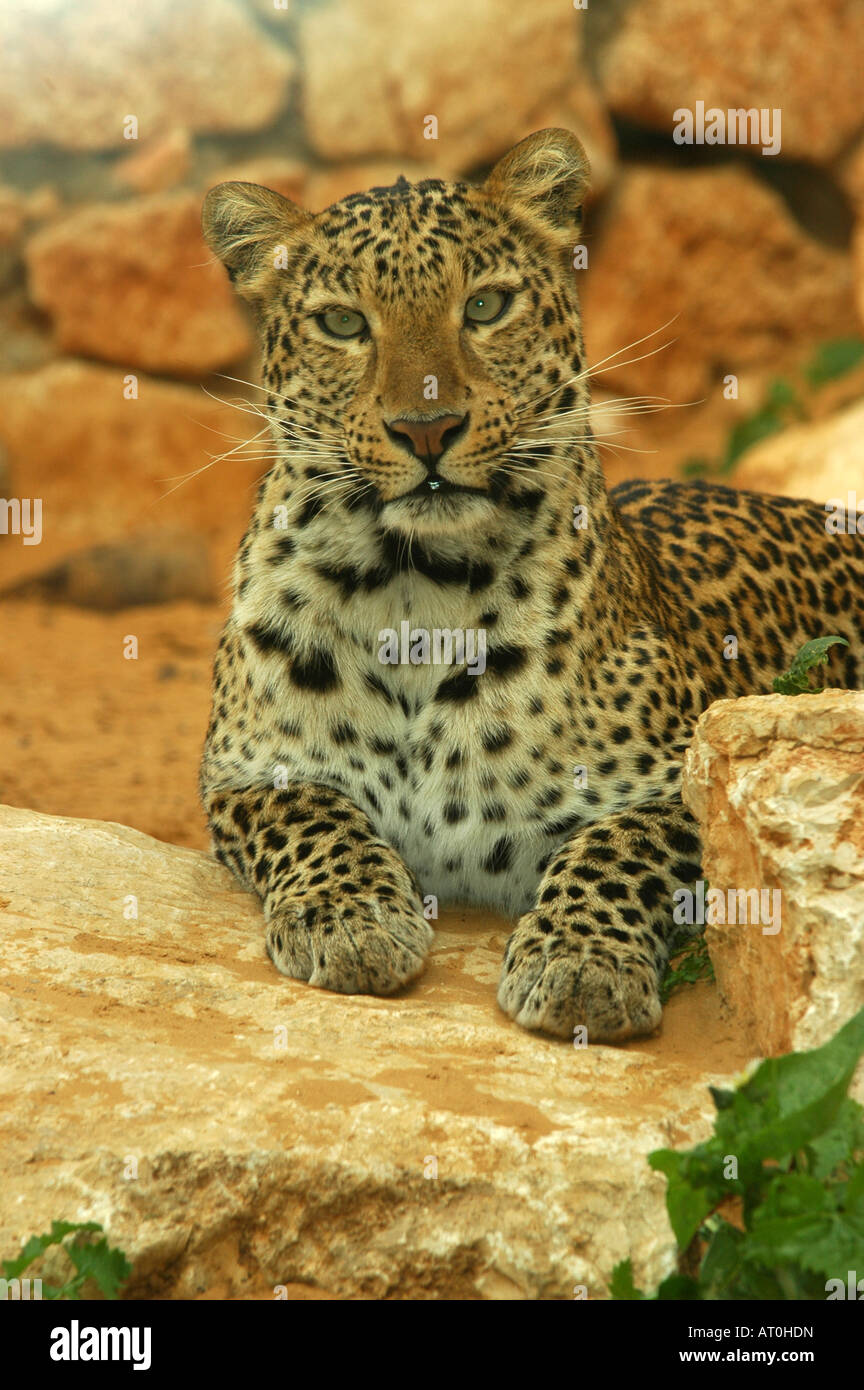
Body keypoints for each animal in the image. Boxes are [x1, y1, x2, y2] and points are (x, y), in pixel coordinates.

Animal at [199, 128, 864, 1043]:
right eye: (342, 323)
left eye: (485, 307)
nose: (428, 429)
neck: (417, 589)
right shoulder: (242, 773)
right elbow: (312, 817)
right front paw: (352, 921)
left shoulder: (688, 780)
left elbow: (613, 848)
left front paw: (581, 963)